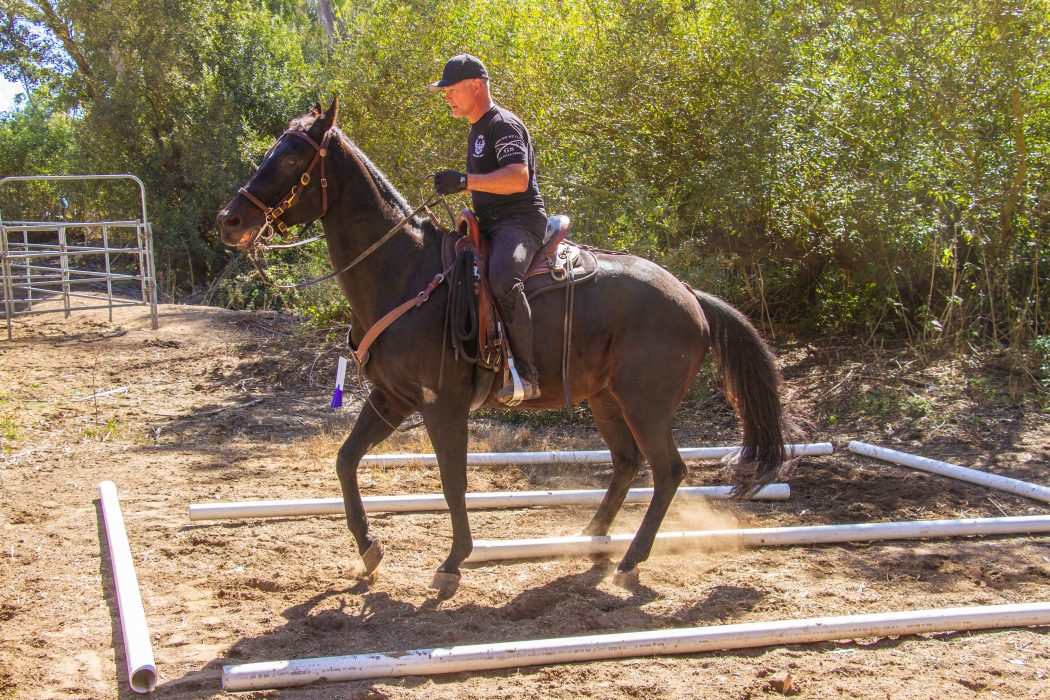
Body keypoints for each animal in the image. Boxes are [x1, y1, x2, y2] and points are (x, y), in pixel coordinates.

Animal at [216, 99, 793, 592]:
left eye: (293, 155)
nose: (231, 220)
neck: (405, 273)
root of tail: (691, 295)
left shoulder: (442, 405)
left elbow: (453, 482)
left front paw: (454, 561)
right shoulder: (392, 399)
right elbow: (345, 461)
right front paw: (369, 548)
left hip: (644, 404)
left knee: (668, 471)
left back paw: (631, 559)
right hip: (606, 399)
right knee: (628, 463)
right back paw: (590, 537)